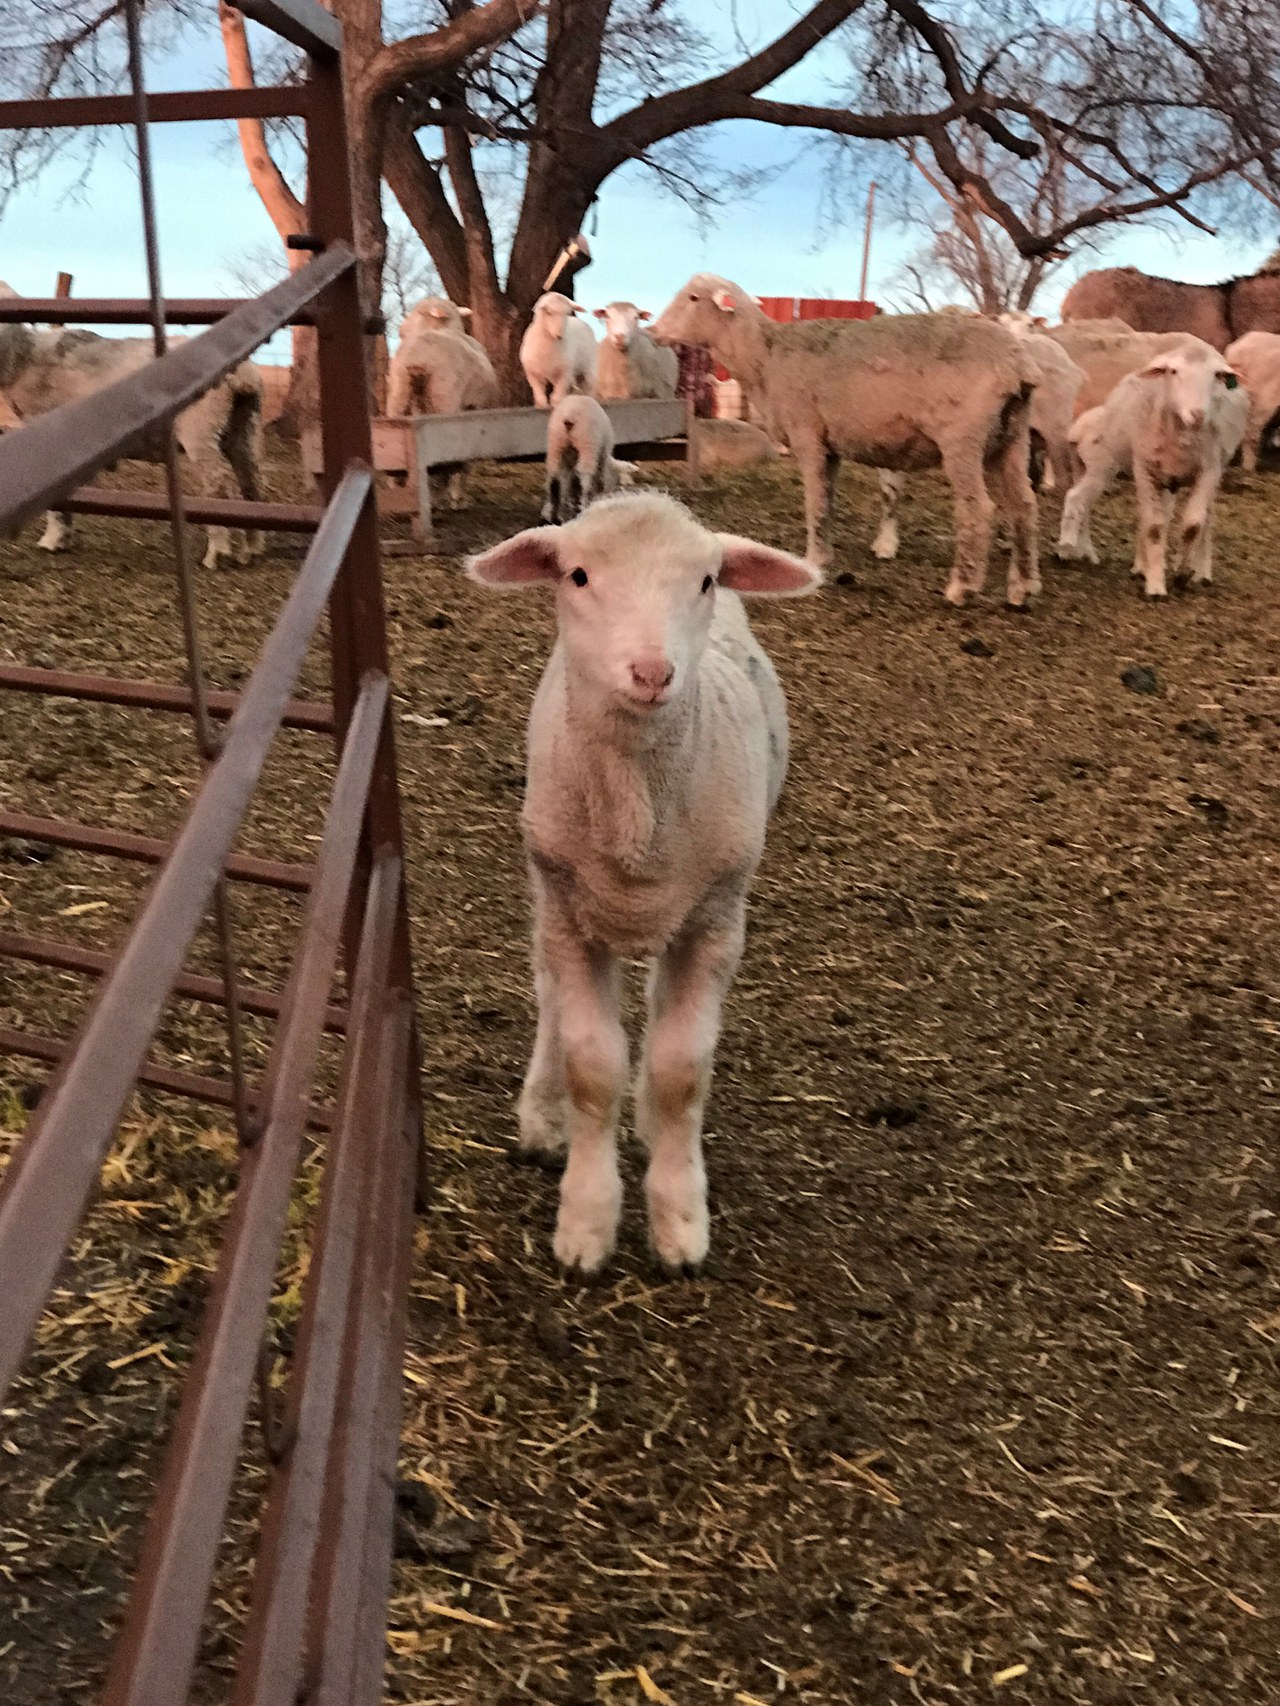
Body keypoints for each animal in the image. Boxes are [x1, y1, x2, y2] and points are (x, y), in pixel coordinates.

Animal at [0, 319, 262, 569]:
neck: (25, 356)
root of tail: (243, 376)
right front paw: (64, 537)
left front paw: (52, 539)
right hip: (242, 428)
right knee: (251, 482)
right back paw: (250, 549)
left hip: (201, 431)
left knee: (218, 486)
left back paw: (217, 552)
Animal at [466, 491, 820, 1274]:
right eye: (577, 575)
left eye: (705, 580)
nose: (653, 673)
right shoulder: (570, 914)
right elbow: (591, 1065)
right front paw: (586, 1224)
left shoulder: (715, 920)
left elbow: (681, 1067)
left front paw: (680, 1220)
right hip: (548, 889)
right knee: (548, 996)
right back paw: (543, 1113)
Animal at [650, 276, 1040, 607]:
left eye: (693, 298)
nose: (654, 332)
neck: (765, 357)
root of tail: (1017, 364)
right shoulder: (830, 445)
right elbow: (827, 500)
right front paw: (825, 554)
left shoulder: (807, 435)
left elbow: (814, 502)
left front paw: (813, 558)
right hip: (1012, 436)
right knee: (1023, 504)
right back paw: (1022, 588)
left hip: (963, 437)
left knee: (978, 508)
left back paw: (962, 588)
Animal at [1057, 339, 1247, 597]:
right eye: (1173, 371)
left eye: (1217, 375)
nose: (1198, 414)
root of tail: (1075, 432)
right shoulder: (1146, 469)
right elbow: (1154, 526)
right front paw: (1155, 585)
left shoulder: (1208, 471)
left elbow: (1193, 525)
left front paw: (1182, 572)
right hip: (1110, 470)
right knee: (1087, 500)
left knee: (1205, 518)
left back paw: (1200, 572)